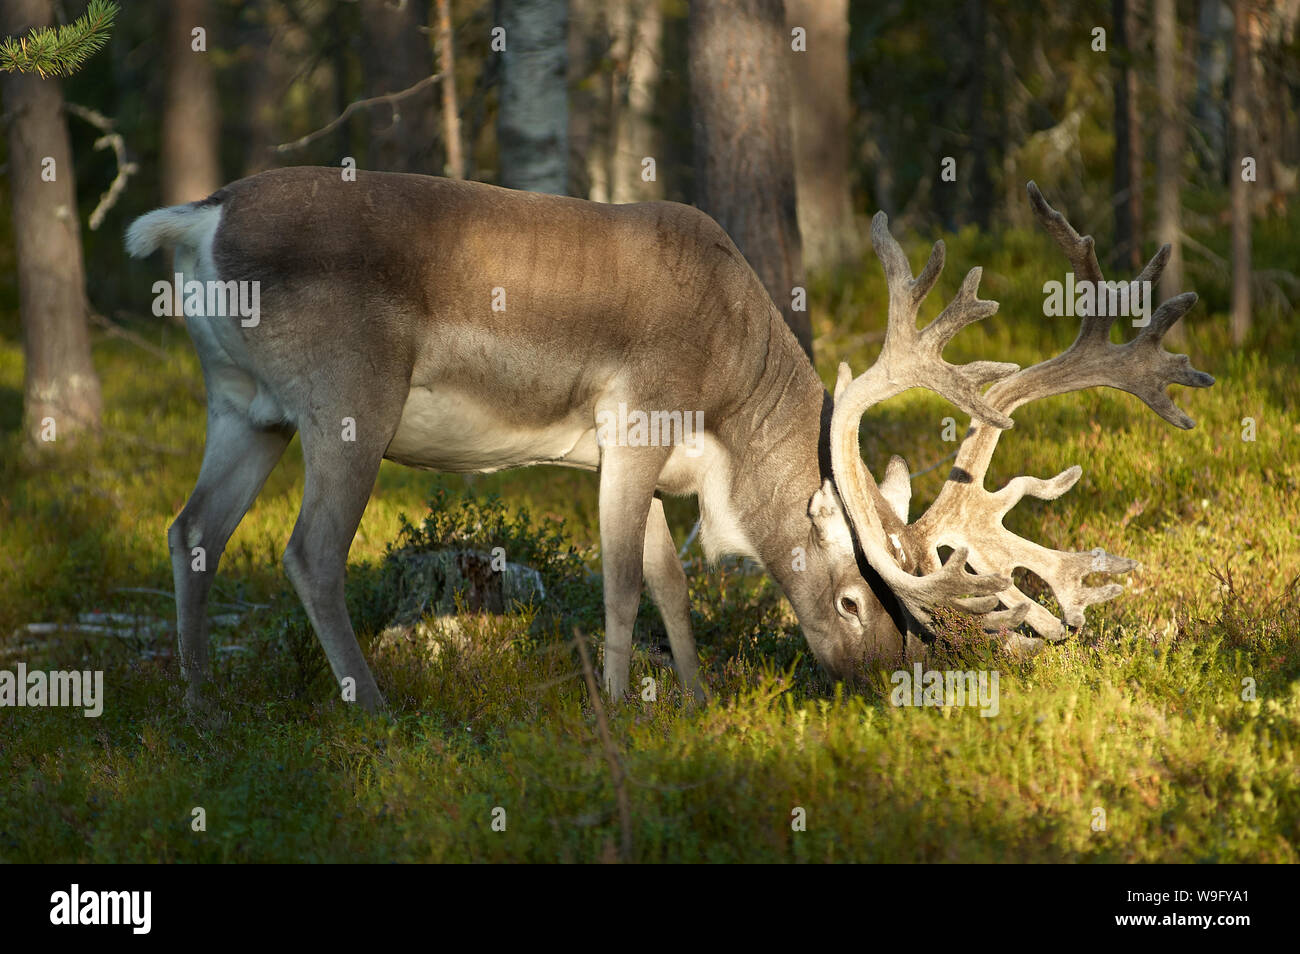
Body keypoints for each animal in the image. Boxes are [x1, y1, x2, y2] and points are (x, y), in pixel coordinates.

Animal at [125, 168, 1213, 713]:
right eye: (855, 596)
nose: (873, 679)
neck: (730, 409)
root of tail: (193, 221)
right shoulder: (636, 424)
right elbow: (615, 583)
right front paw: (619, 707)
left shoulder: (638, 466)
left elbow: (669, 579)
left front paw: (692, 700)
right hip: (348, 398)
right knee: (307, 550)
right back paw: (375, 709)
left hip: (244, 407)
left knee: (190, 531)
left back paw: (200, 705)